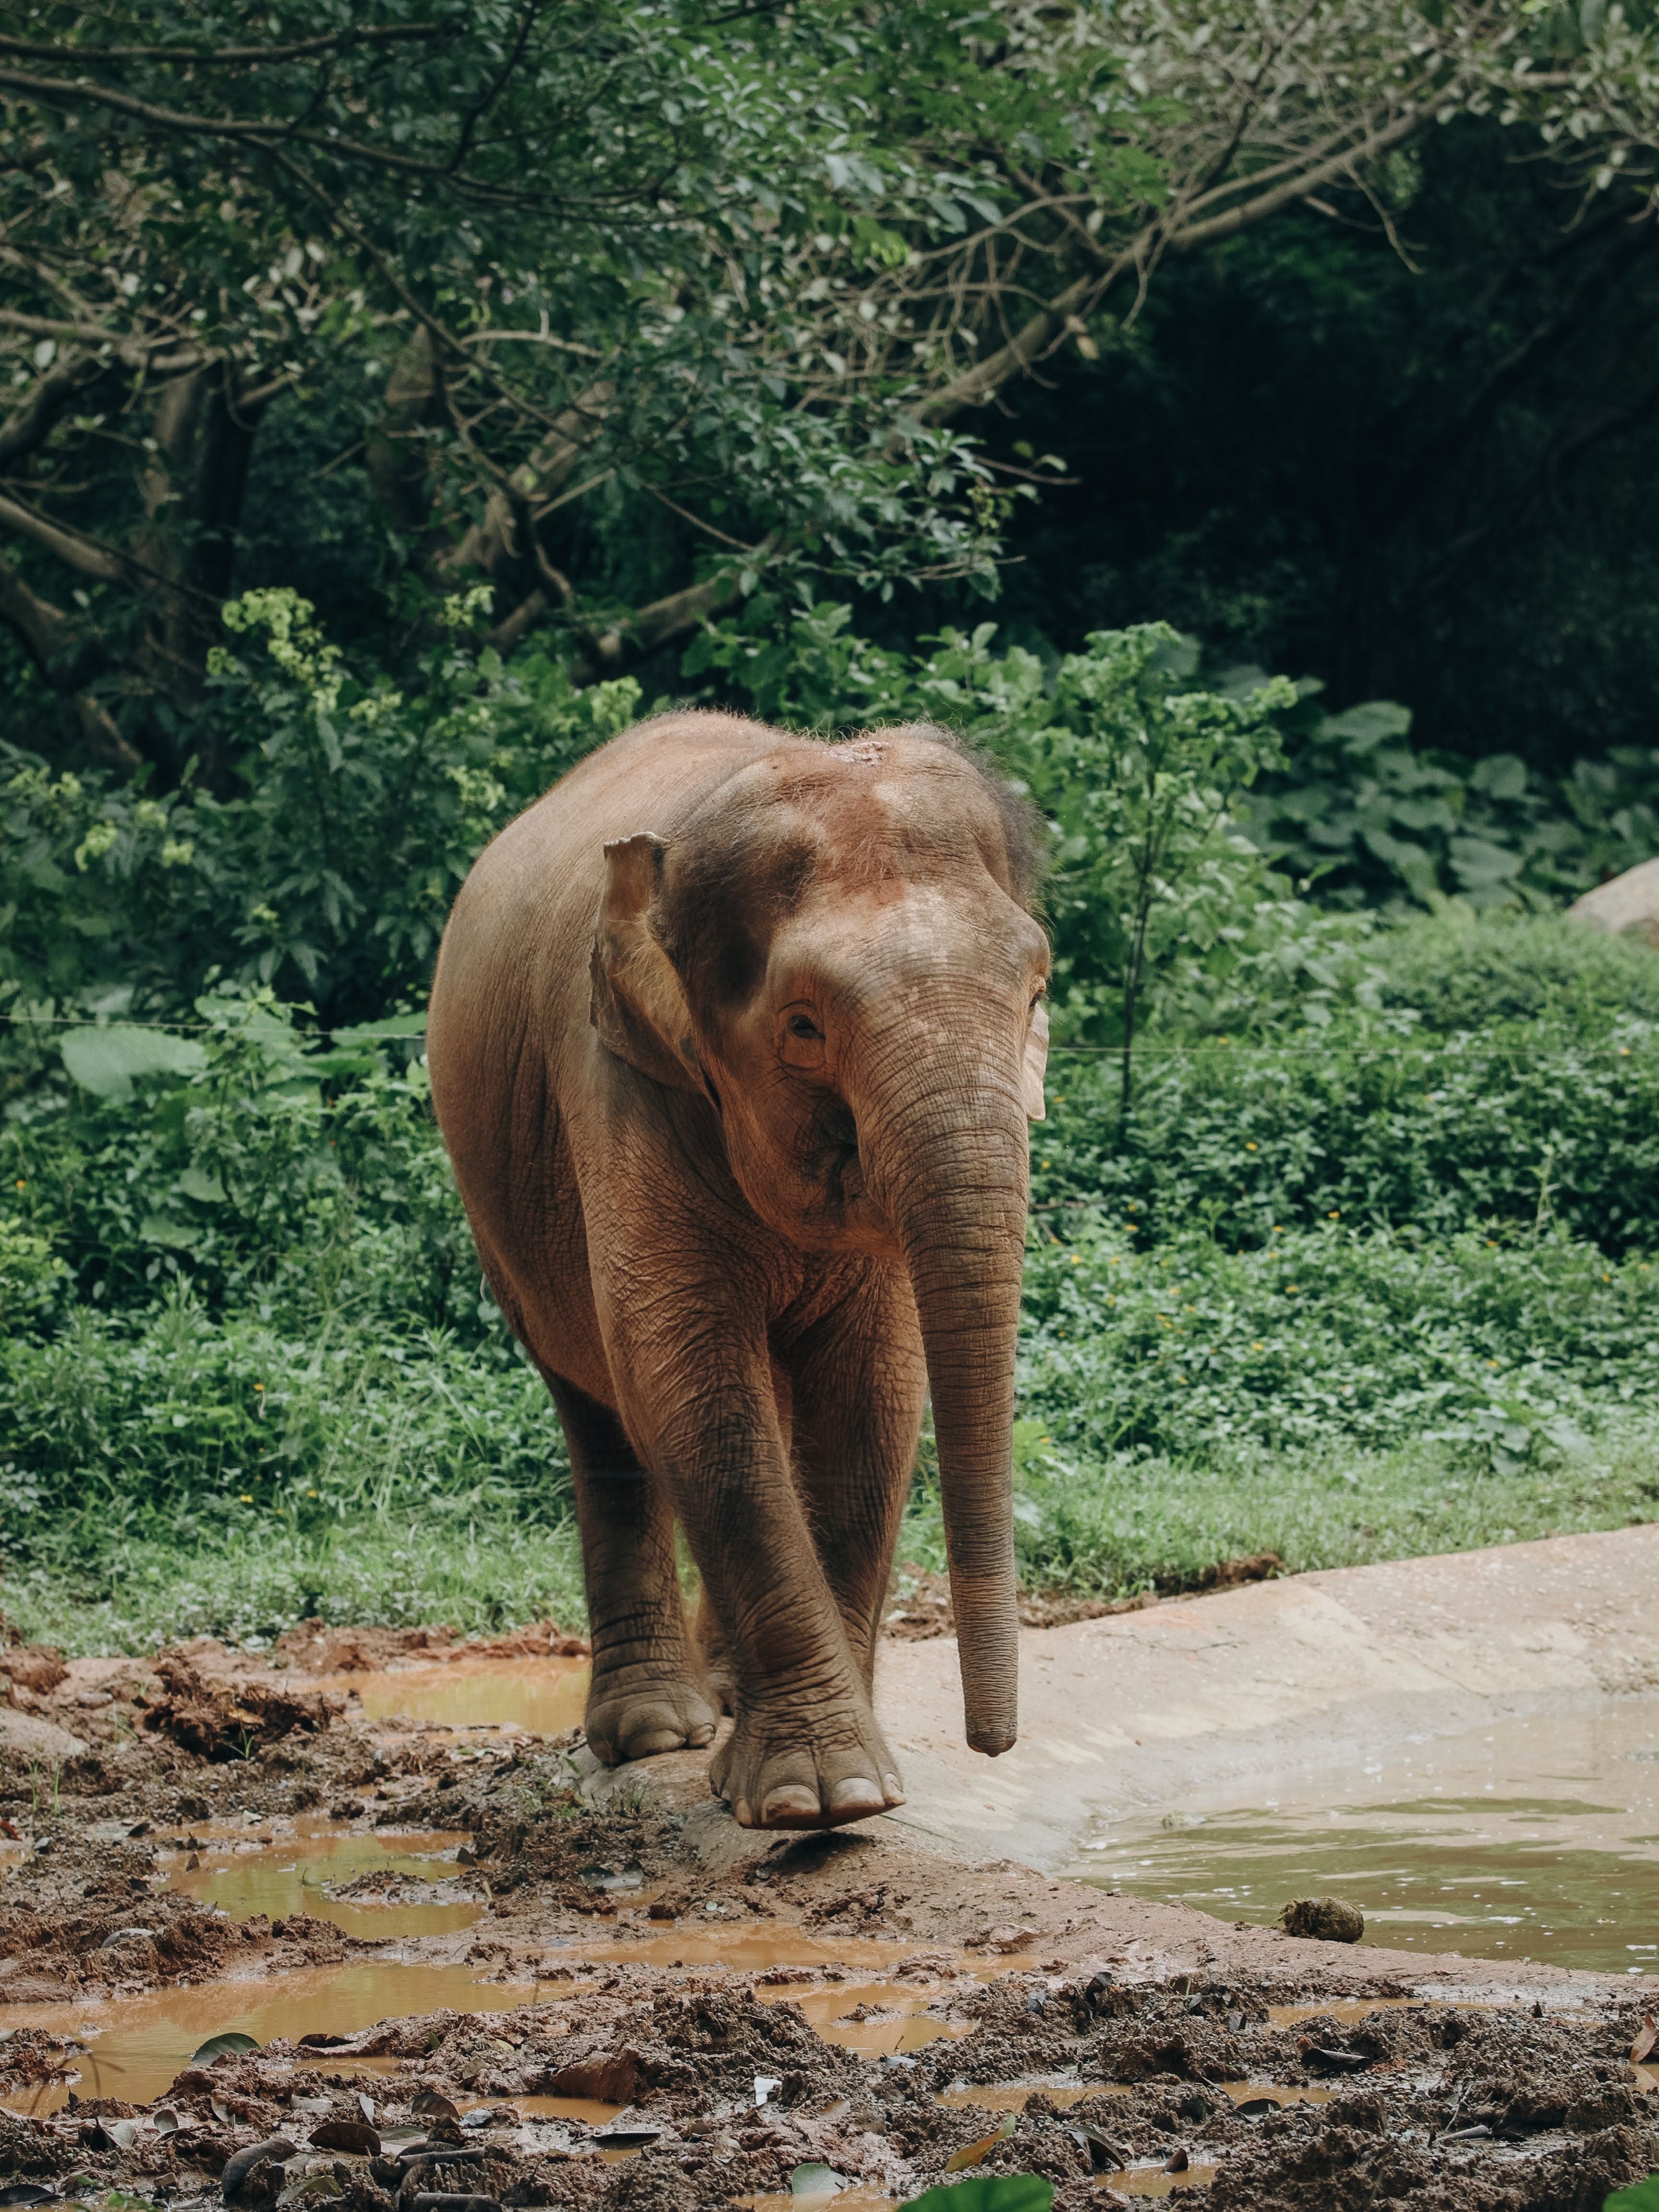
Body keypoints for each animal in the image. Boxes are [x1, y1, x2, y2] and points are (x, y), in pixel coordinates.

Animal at [426, 710, 1049, 1830]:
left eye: (1036, 990)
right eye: (803, 1025)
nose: (993, 1746)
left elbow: (872, 1392)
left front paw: (848, 1788)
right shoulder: (618, 1084)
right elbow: (687, 1379)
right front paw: (827, 1797)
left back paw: (718, 1699)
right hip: (493, 1199)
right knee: (596, 1406)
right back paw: (654, 1732)